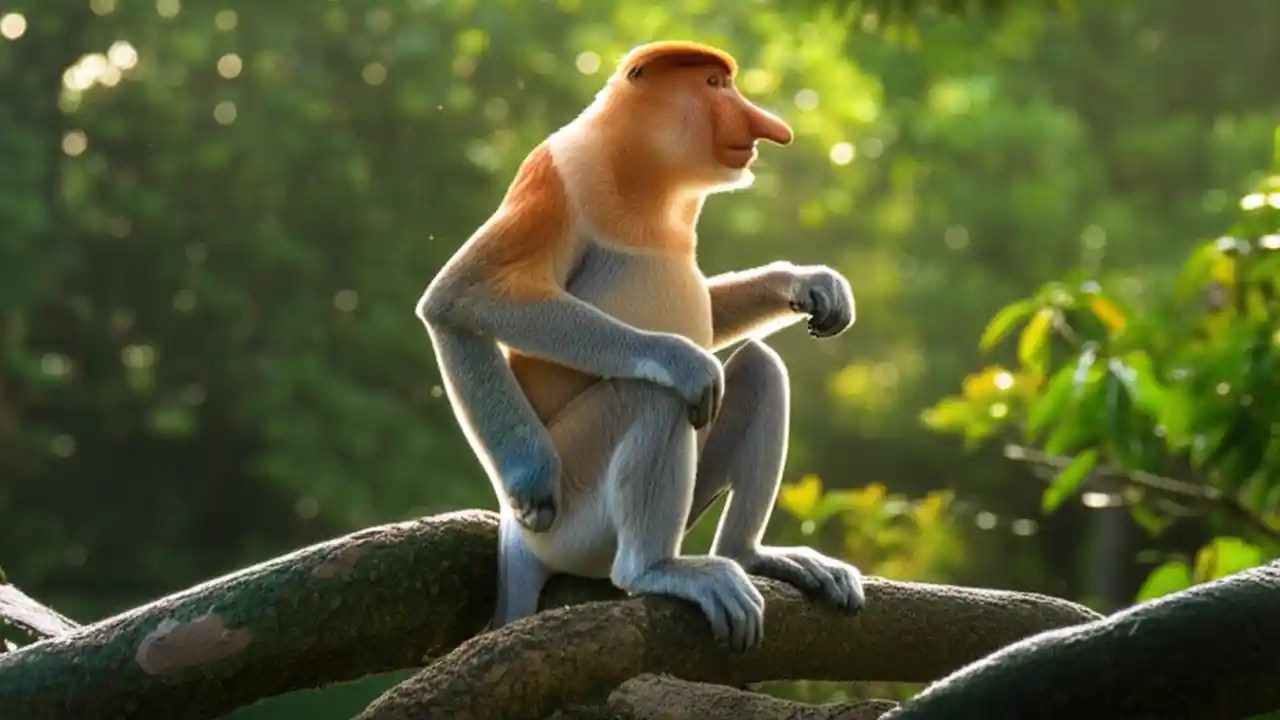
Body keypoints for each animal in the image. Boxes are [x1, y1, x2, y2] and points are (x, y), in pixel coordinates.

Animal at [417, 41, 864, 654]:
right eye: (713, 84)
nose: (768, 128)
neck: (647, 172)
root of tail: (519, 548)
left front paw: (811, 284)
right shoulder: (557, 175)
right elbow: (458, 300)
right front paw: (532, 487)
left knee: (760, 367)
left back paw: (749, 555)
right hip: (575, 514)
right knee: (659, 395)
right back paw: (654, 568)